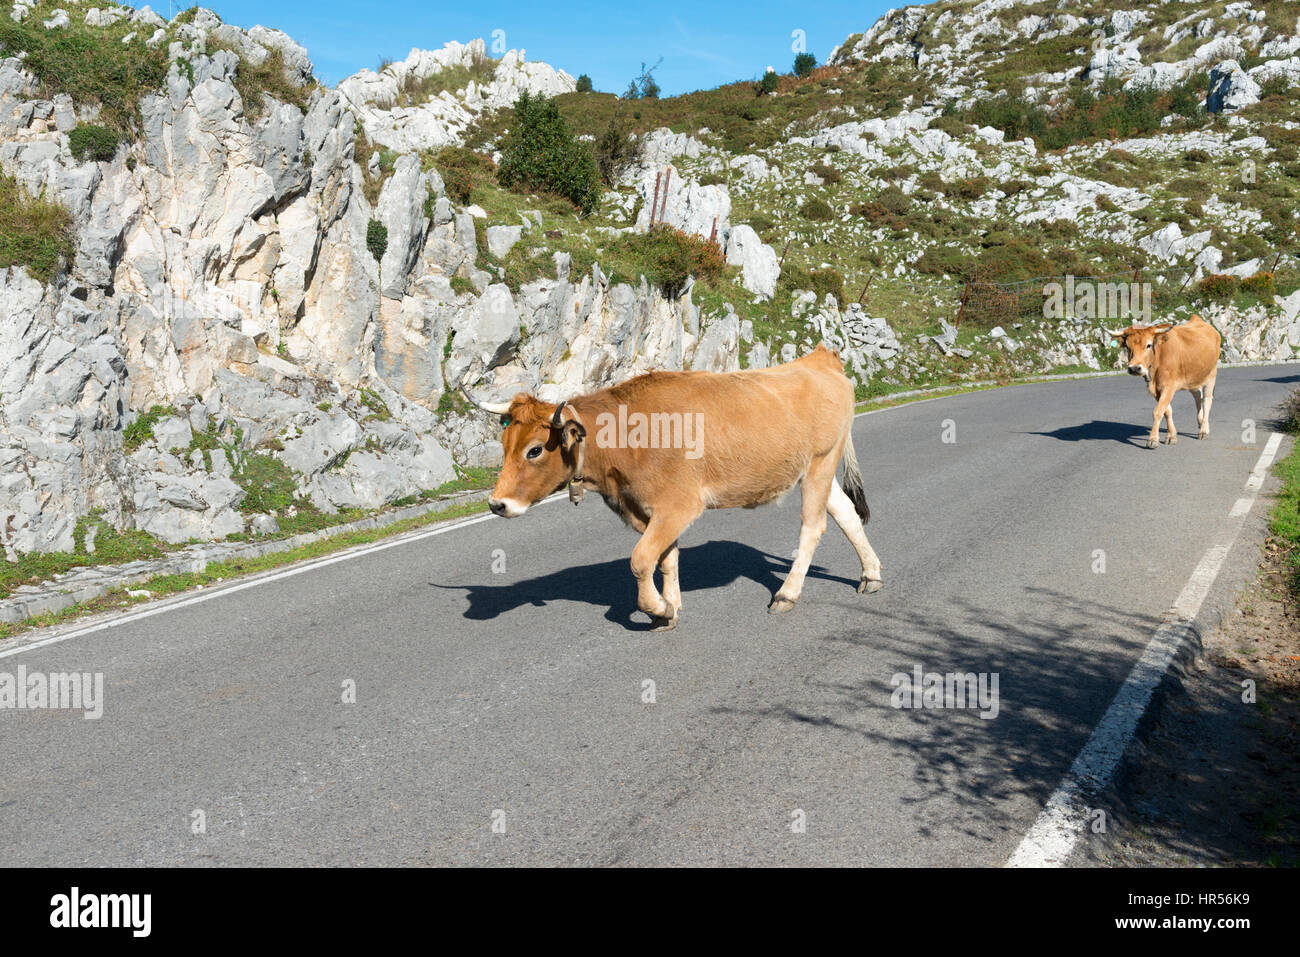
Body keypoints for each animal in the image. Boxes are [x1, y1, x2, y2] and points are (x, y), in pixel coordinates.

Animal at [464, 344, 883, 630]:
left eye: (535, 449)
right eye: (505, 444)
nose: (497, 504)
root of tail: (818, 360)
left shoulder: (679, 505)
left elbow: (640, 560)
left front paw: (658, 608)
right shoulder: (649, 509)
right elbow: (665, 558)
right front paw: (670, 608)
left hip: (820, 463)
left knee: (813, 526)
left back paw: (787, 594)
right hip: (814, 469)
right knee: (847, 514)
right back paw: (871, 575)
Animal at [1109, 314, 1221, 449]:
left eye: (1148, 345)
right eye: (1127, 346)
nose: (1135, 368)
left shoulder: (1169, 386)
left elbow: (1158, 412)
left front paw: (1153, 439)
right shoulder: (1155, 389)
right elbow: (1167, 411)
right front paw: (1171, 436)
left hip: (1211, 374)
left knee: (1207, 400)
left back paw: (1204, 430)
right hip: (1193, 377)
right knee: (1198, 397)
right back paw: (1200, 422)